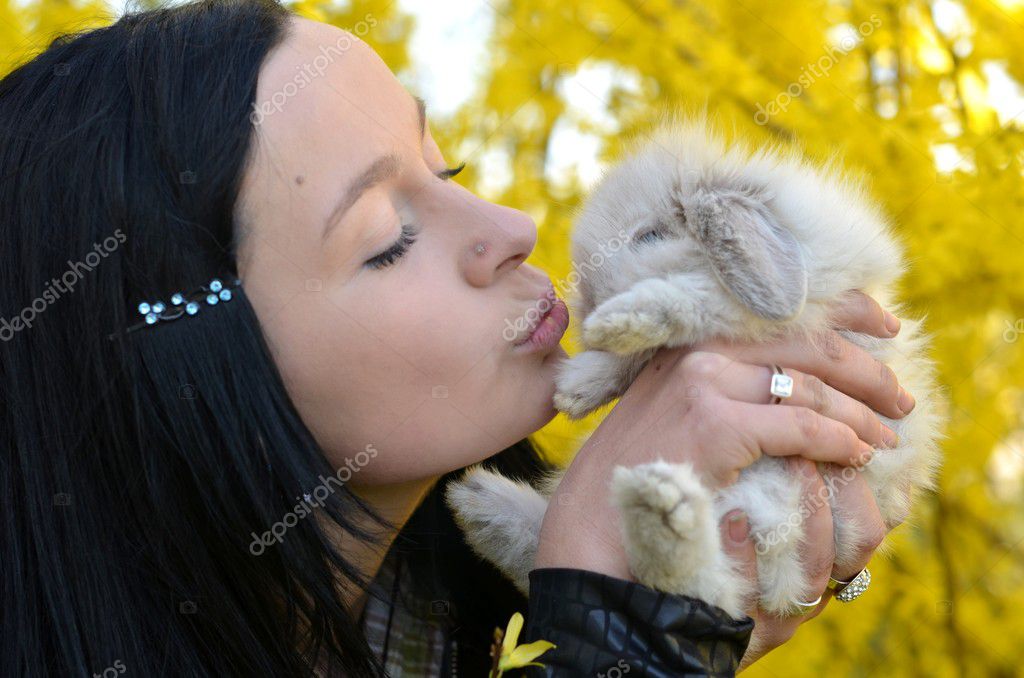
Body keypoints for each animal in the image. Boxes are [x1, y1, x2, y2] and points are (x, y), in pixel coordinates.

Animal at [445, 116, 944, 619]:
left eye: (650, 238)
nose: (585, 312)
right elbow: (637, 357)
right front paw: (577, 388)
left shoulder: (788, 305)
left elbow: (693, 299)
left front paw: (615, 326)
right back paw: (484, 506)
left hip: (775, 501)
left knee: (704, 582)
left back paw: (659, 509)